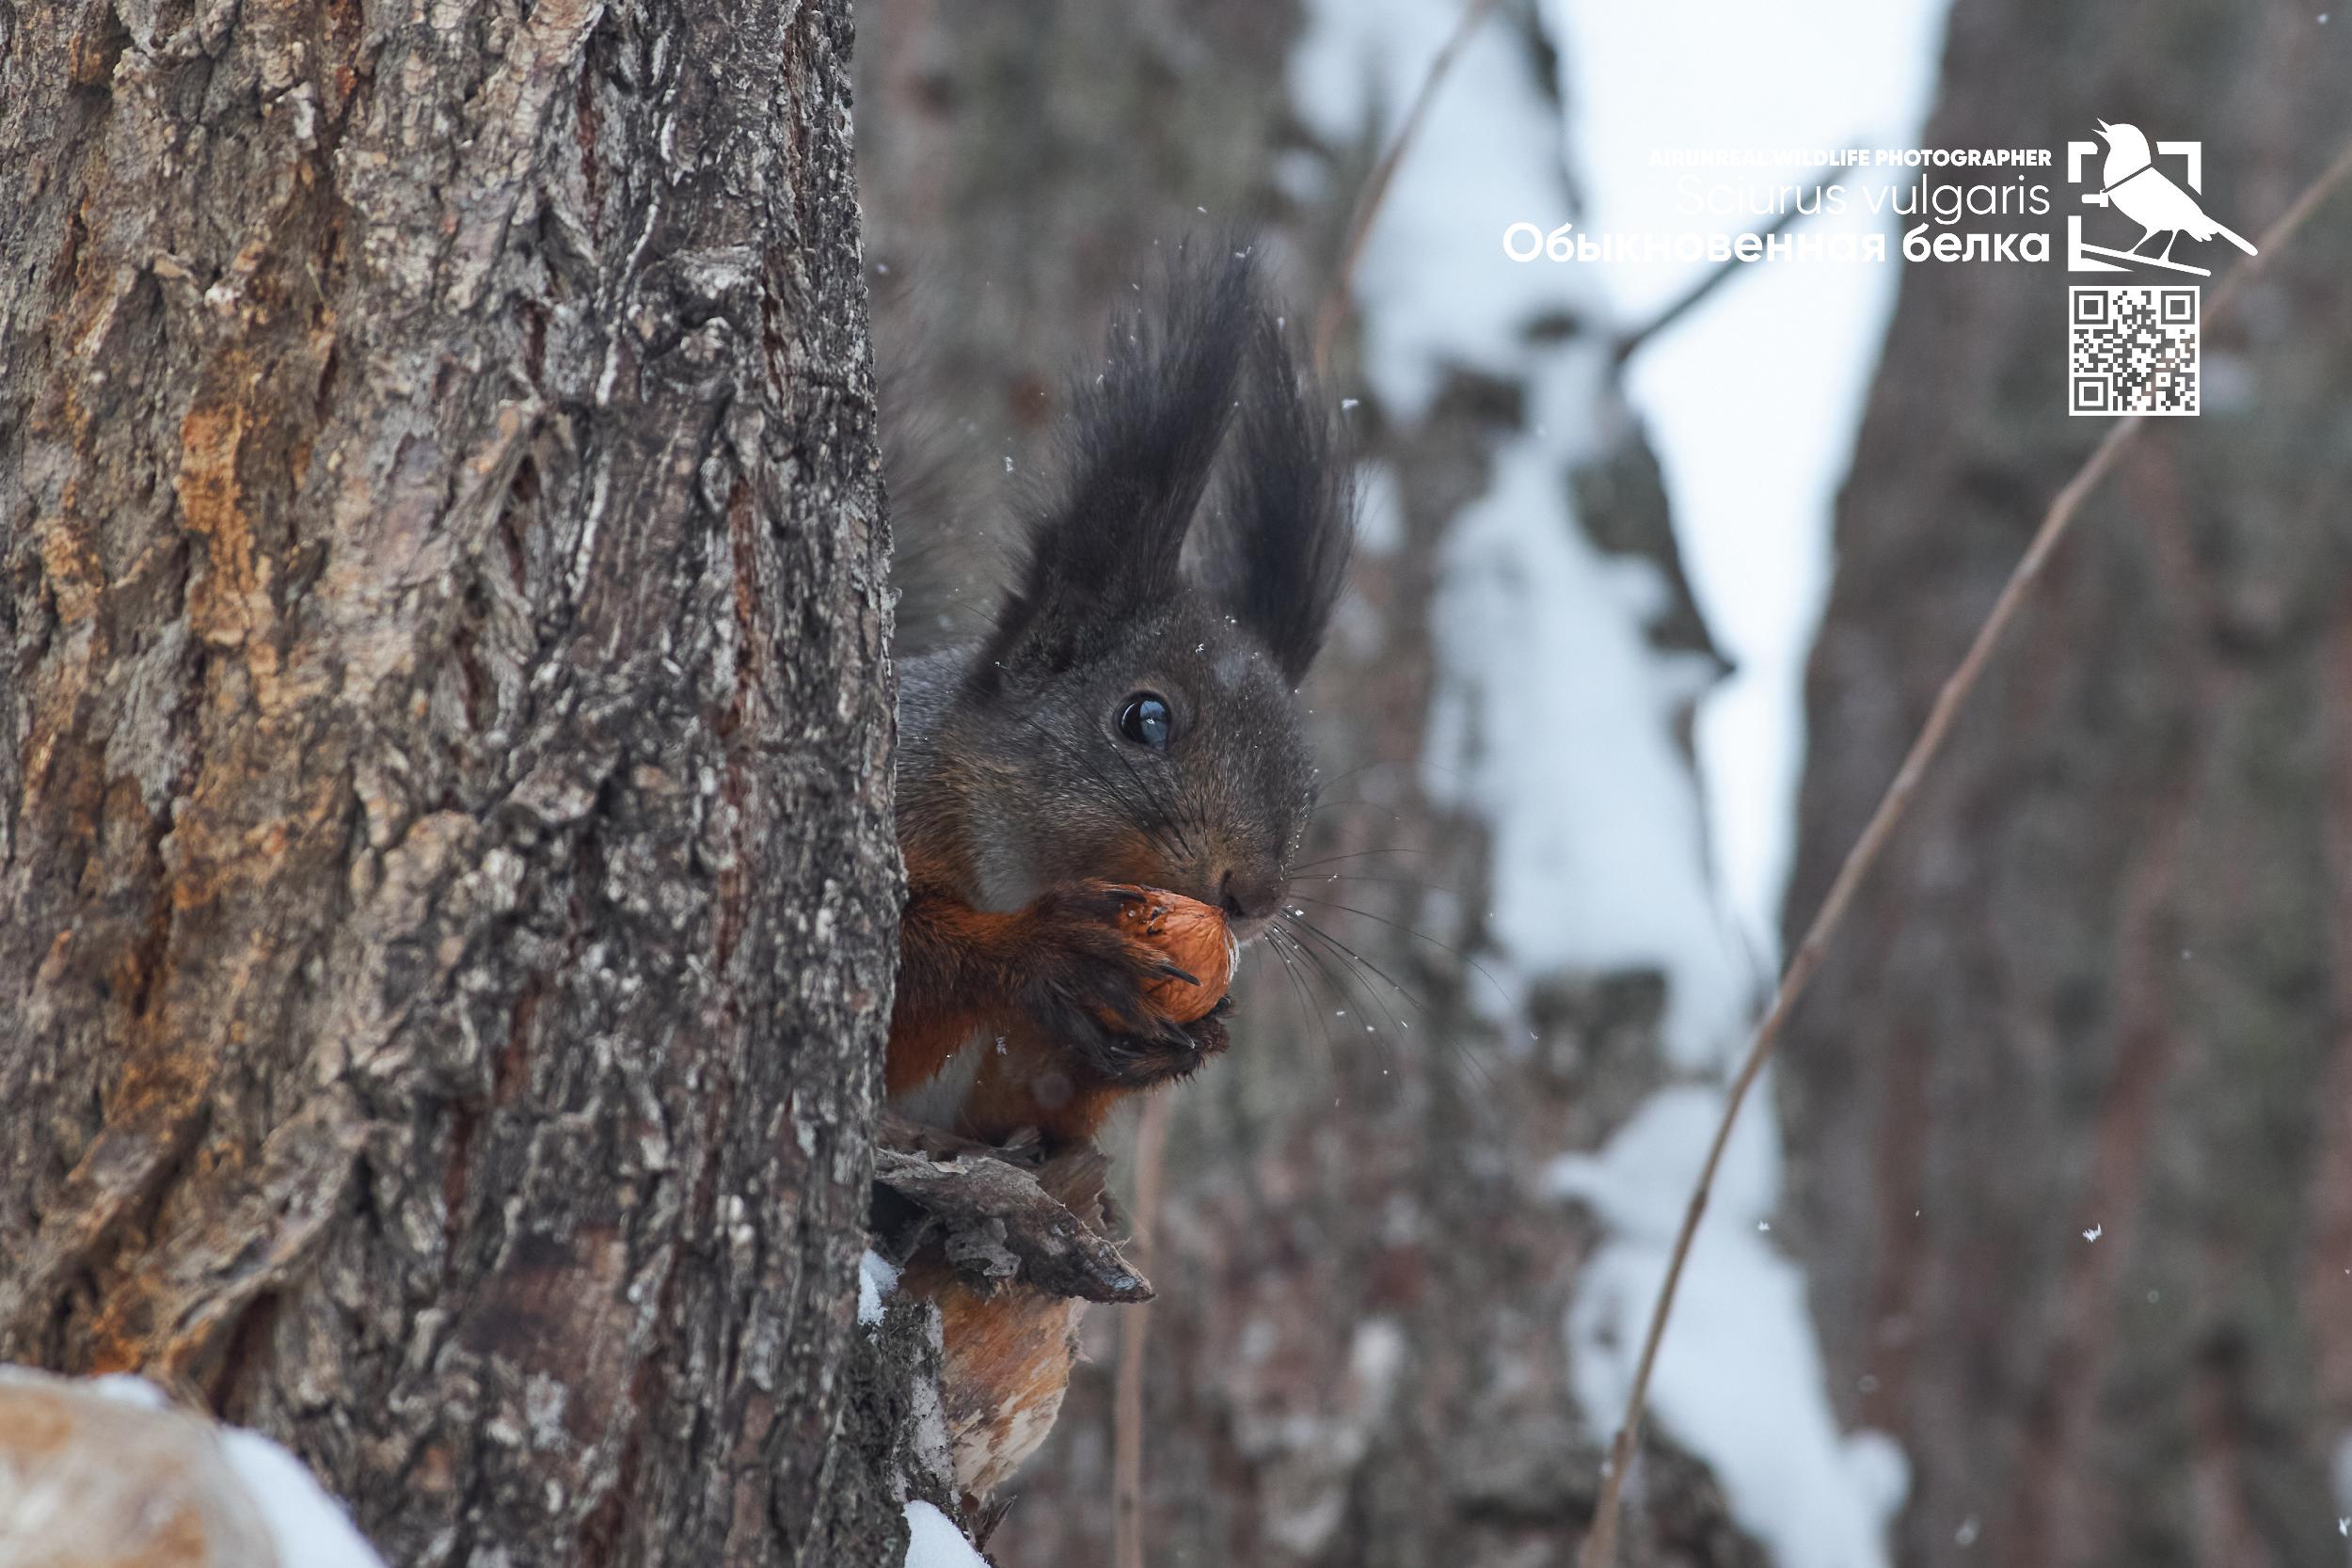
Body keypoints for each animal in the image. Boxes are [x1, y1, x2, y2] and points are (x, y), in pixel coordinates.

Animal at [884, 247, 1355, 1151]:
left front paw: (1192, 1038)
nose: (1256, 899)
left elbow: (1036, 1109)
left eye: (1312, 786)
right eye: (1146, 718)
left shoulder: (1011, 1092)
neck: (1016, 868)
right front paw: (1048, 947)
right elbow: (901, 966)